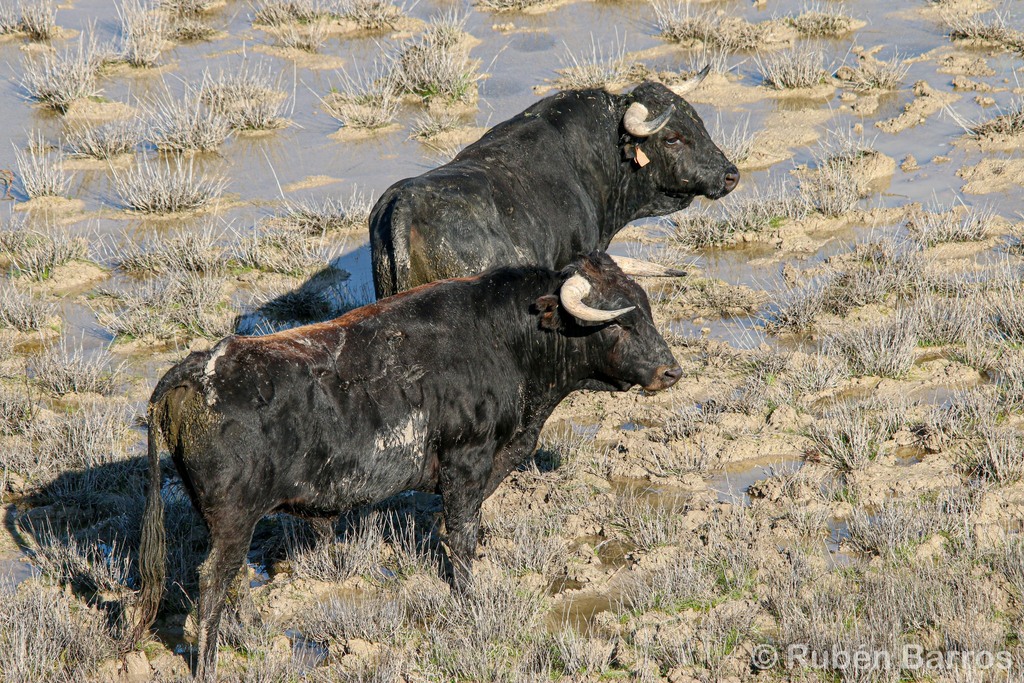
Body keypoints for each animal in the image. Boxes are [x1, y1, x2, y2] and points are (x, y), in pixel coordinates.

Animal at [133, 252, 682, 680]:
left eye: (647, 310)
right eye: (619, 322)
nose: (671, 371)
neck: (504, 340)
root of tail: (203, 366)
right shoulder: (466, 464)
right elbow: (462, 538)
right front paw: (471, 602)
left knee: (229, 581)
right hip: (234, 520)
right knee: (212, 581)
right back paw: (208, 664)